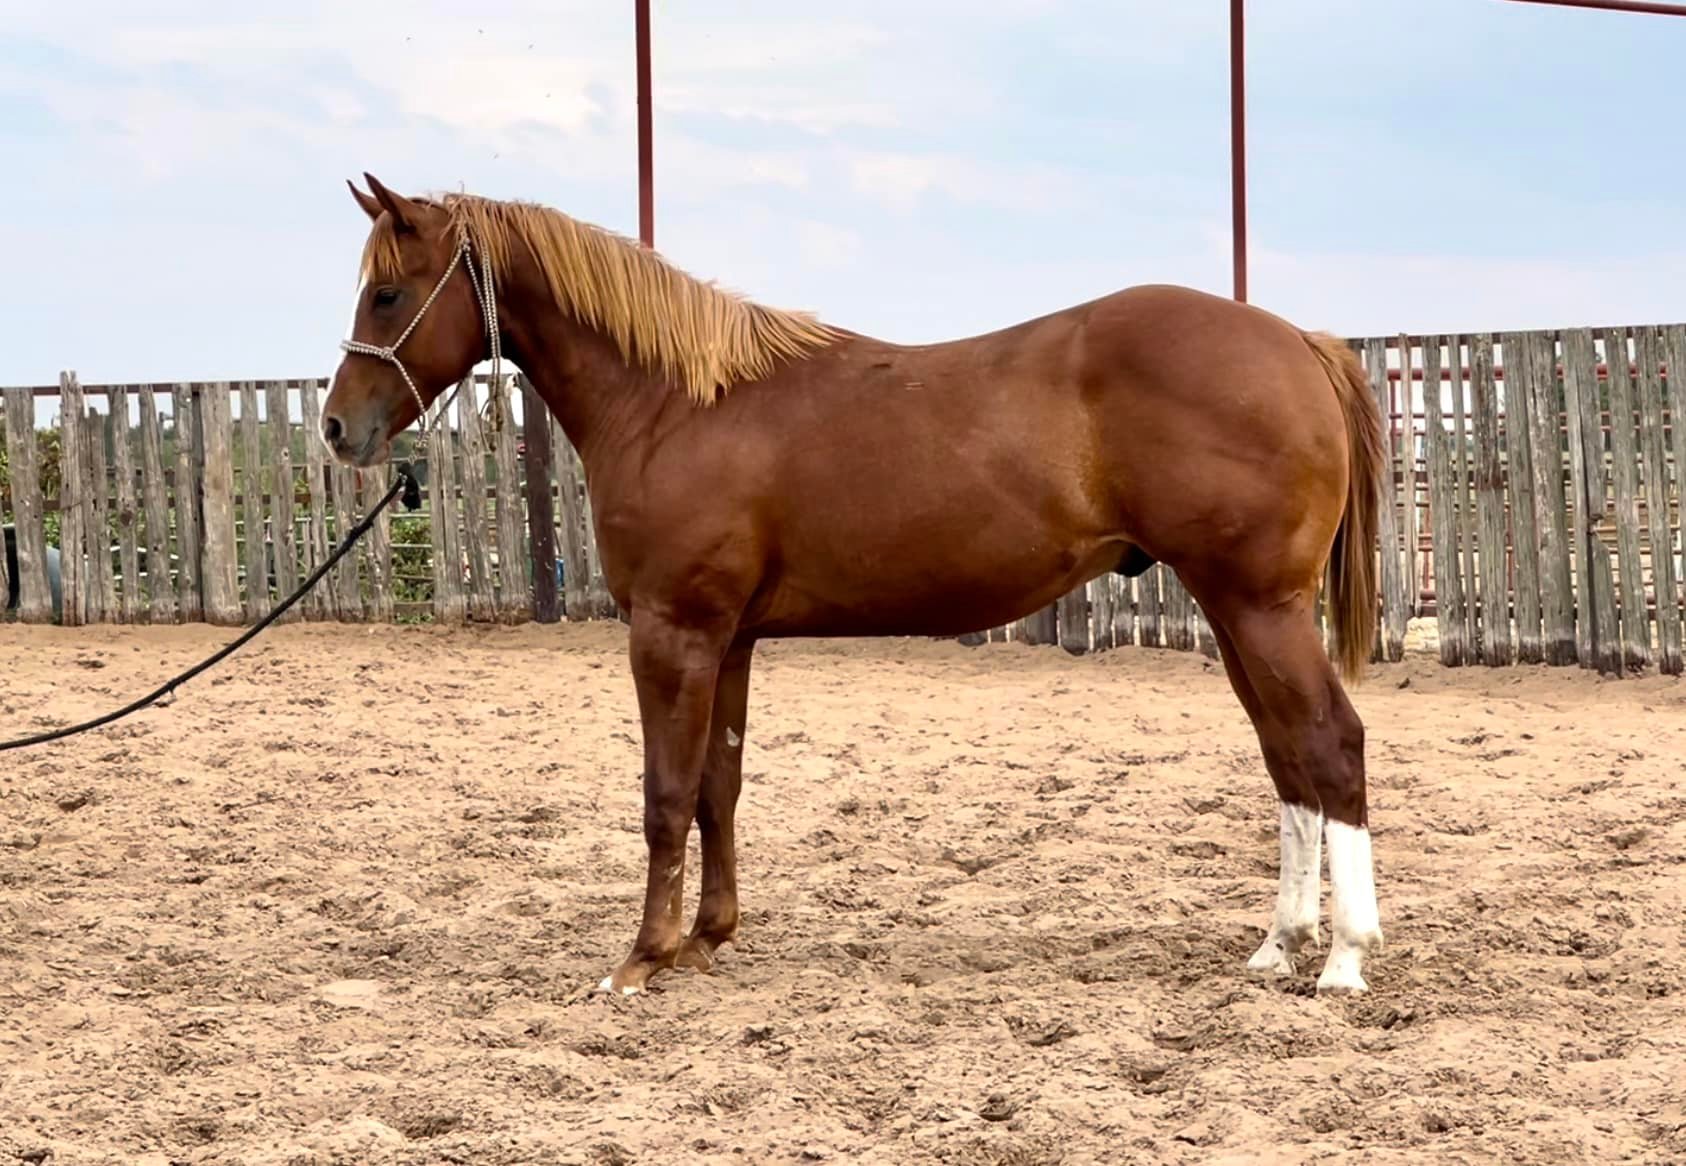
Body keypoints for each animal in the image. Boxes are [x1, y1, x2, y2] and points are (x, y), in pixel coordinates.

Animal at [322, 174, 1388, 998]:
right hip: (1236, 613)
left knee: (1330, 745)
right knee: (1287, 759)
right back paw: (1280, 944)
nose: (338, 428)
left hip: (1261, 608)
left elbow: (666, 794)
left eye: (388, 294)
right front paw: (708, 939)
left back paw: (1343, 959)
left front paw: (643, 958)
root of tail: (1297, 342)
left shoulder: (672, 633)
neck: (675, 402)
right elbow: (718, 789)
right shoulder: (728, 641)